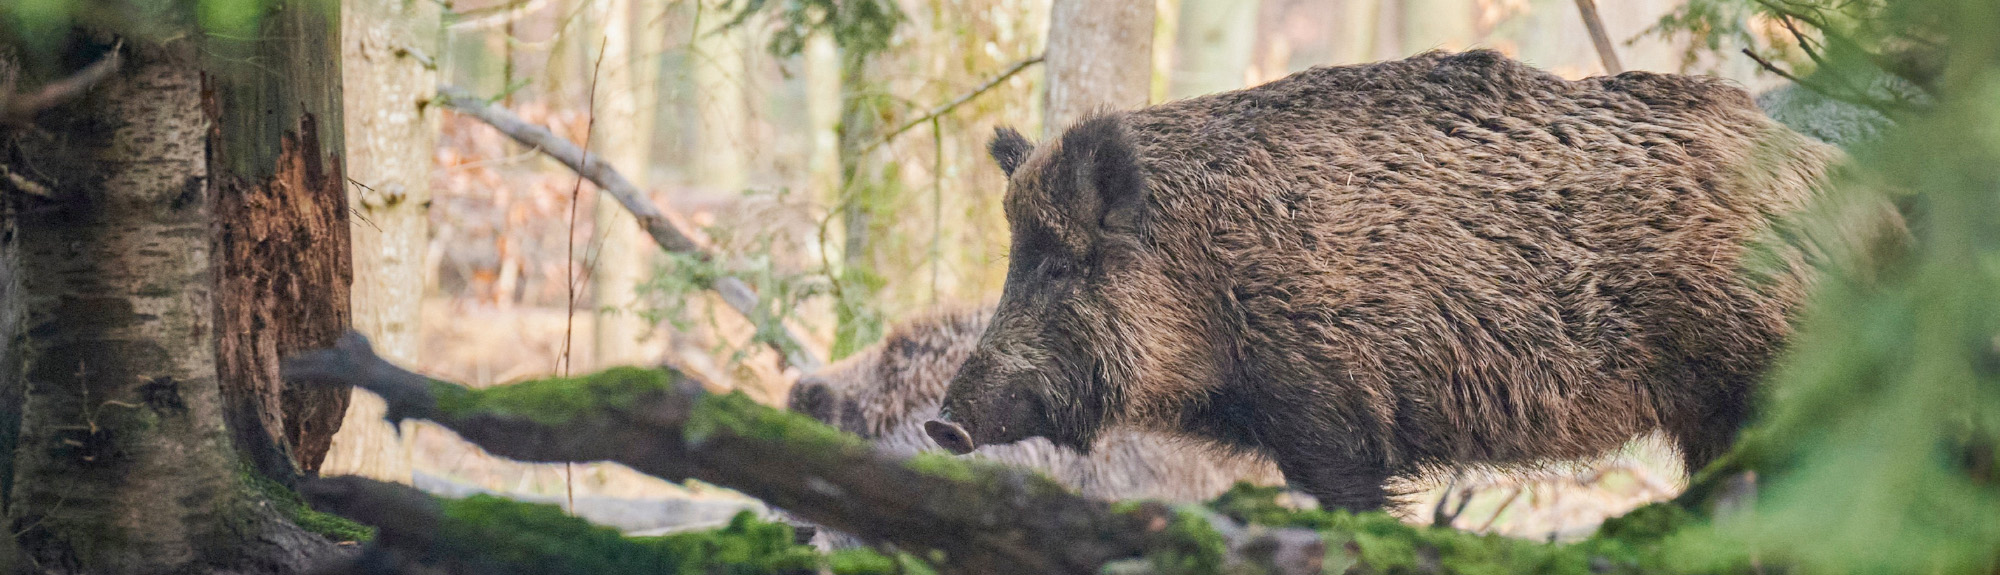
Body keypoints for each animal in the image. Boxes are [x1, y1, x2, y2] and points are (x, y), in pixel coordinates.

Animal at [926, 49, 1843, 513]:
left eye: (1058, 263)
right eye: (1016, 258)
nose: (942, 424)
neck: (1209, 277)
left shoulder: (1328, 409)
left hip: (1768, 374)